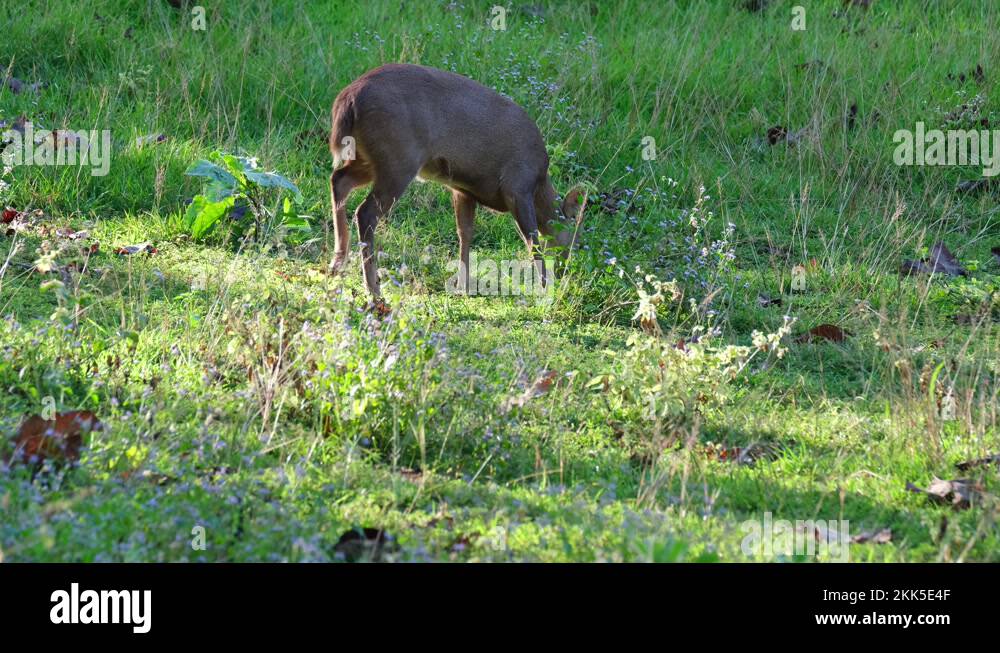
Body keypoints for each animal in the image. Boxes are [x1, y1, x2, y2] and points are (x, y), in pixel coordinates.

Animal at [327, 63, 587, 303]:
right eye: (577, 236)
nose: (568, 268)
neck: (540, 182)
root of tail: (348, 99)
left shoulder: (463, 190)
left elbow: (465, 232)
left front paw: (463, 284)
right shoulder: (518, 185)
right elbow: (532, 239)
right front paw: (545, 288)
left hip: (368, 157)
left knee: (339, 179)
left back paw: (337, 262)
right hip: (398, 158)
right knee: (365, 212)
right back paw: (373, 290)